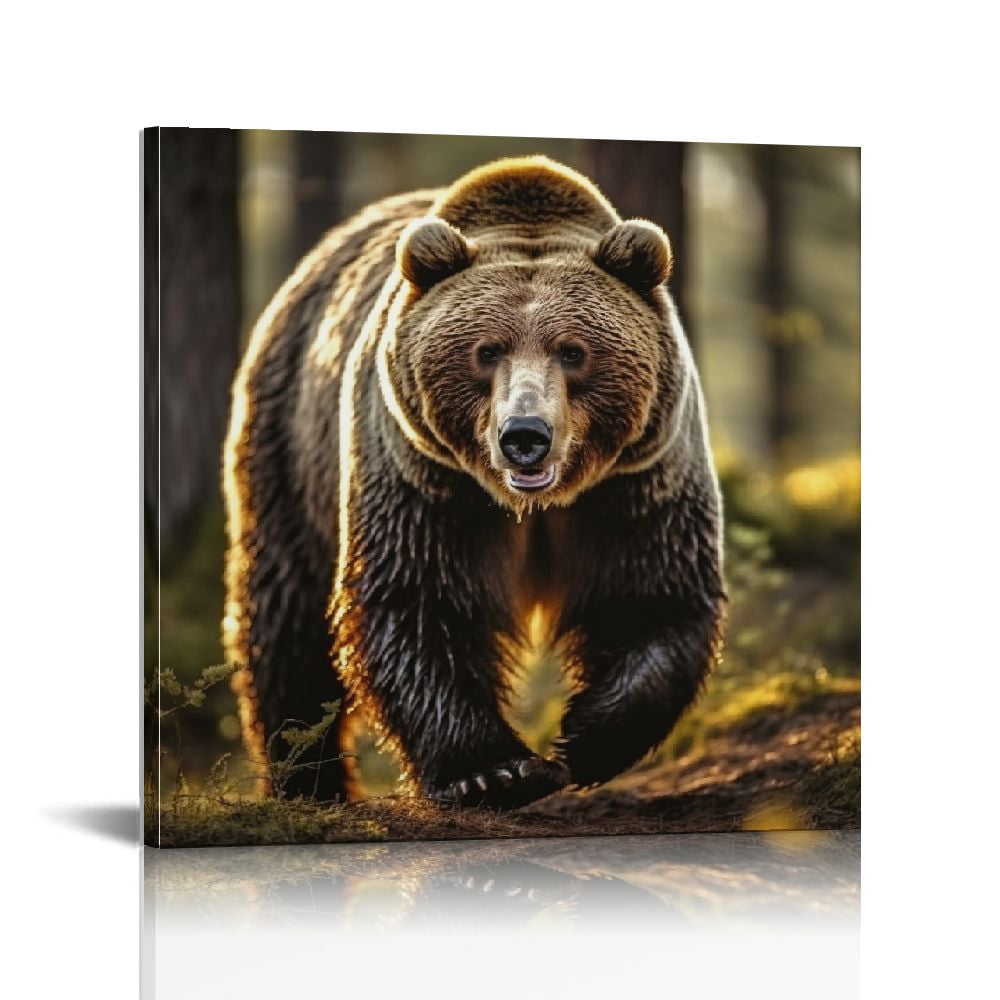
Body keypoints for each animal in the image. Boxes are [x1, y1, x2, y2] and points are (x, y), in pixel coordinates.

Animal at [222, 155, 726, 811]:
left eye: (573, 351)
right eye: (486, 351)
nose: (525, 434)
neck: (533, 504)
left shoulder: (635, 482)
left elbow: (649, 596)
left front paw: (581, 737)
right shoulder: (426, 479)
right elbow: (415, 597)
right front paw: (495, 771)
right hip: (290, 446)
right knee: (285, 622)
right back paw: (307, 780)